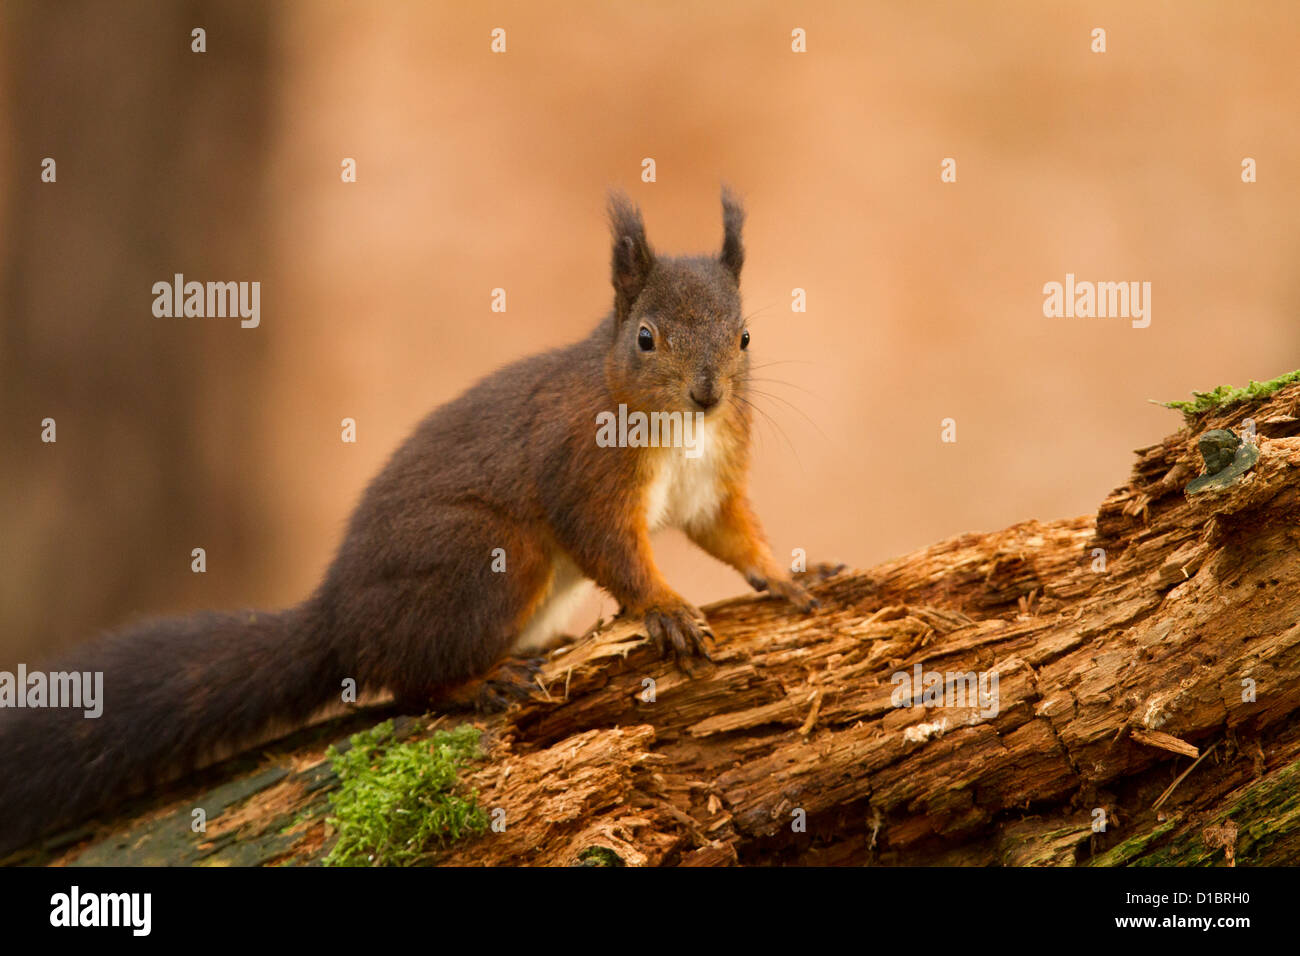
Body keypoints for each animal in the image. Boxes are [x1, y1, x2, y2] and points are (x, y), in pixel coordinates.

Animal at [0, 189, 823, 854]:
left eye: (745, 337)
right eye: (647, 337)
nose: (708, 394)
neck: (676, 427)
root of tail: (336, 620)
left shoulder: (711, 481)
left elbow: (729, 532)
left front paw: (788, 577)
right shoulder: (580, 469)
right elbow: (610, 547)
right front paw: (666, 608)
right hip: (491, 556)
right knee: (409, 680)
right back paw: (479, 682)